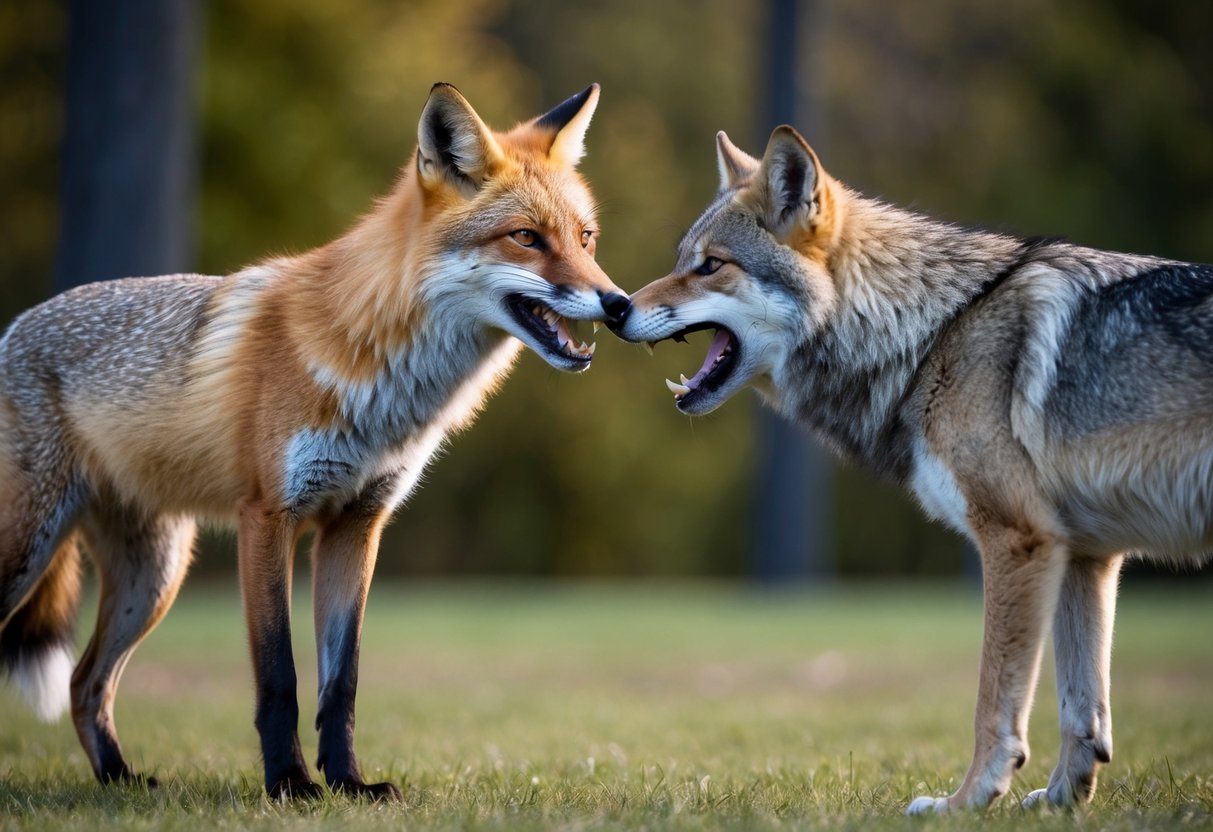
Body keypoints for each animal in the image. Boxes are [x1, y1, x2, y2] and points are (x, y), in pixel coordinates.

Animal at [0, 82, 631, 800]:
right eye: (525, 238)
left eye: (585, 238)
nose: (618, 304)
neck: (379, 369)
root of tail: (15, 328)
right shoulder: (268, 516)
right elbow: (281, 676)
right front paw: (290, 784)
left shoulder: (355, 524)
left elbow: (341, 680)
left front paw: (349, 783)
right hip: (33, 549)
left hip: (152, 577)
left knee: (85, 684)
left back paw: (119, 778)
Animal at [606, 125, 1212, 813]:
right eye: (683, 259)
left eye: (709, 265)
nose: (615, 308)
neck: (934, 332)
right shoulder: (1087, 554)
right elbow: (1082, 712)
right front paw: (1061, 801)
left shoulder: (1018, 539)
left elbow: (993, 703)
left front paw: (966, 802)